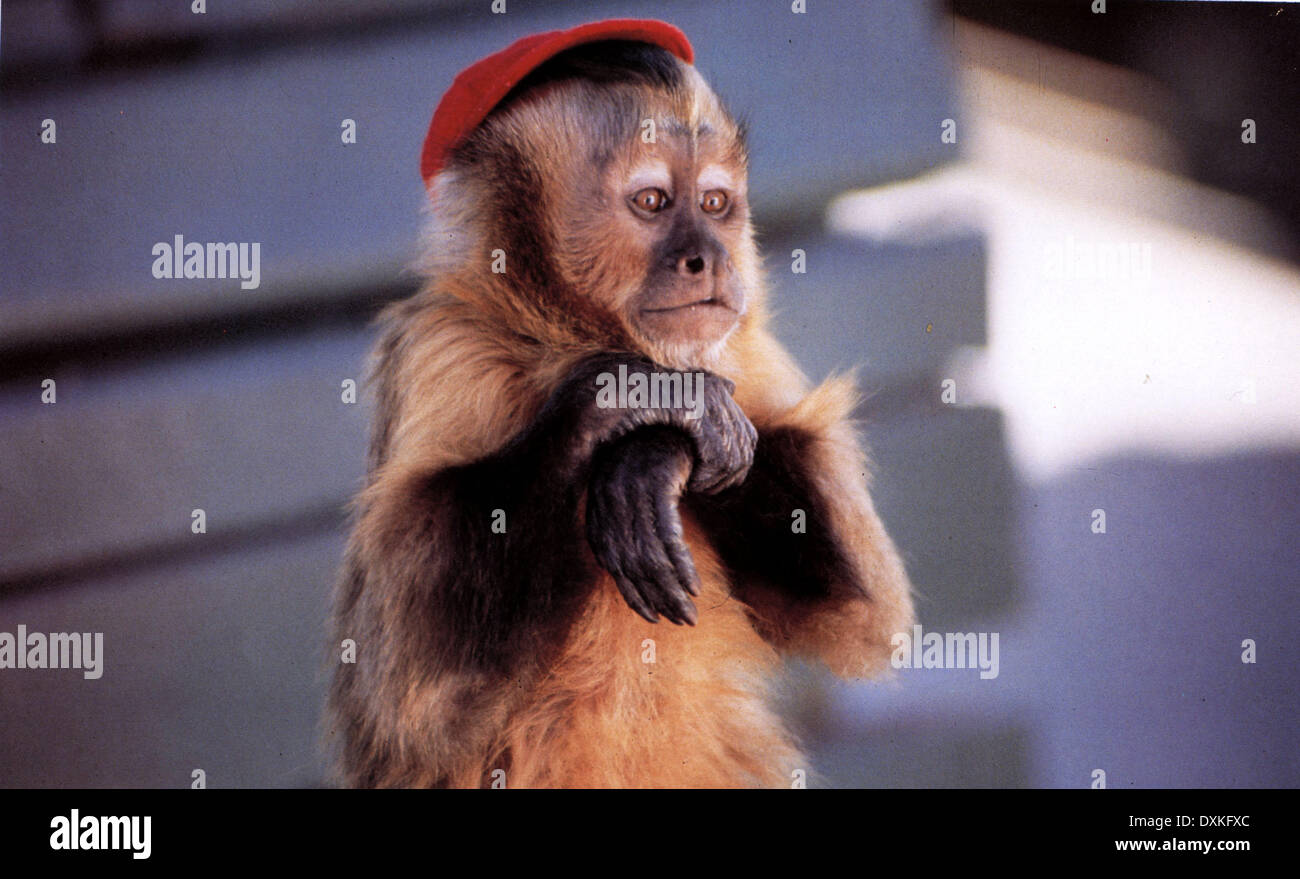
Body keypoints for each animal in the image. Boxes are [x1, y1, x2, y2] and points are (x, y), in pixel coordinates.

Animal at [327, 21, 914, 788]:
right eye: (654, 202)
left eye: (715, 204)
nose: (709, 258)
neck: (567, 332)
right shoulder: (441, 351)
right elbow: (410, 709)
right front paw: (634, 400)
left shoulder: (745, 348)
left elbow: (861, 614)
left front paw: (664, 452)